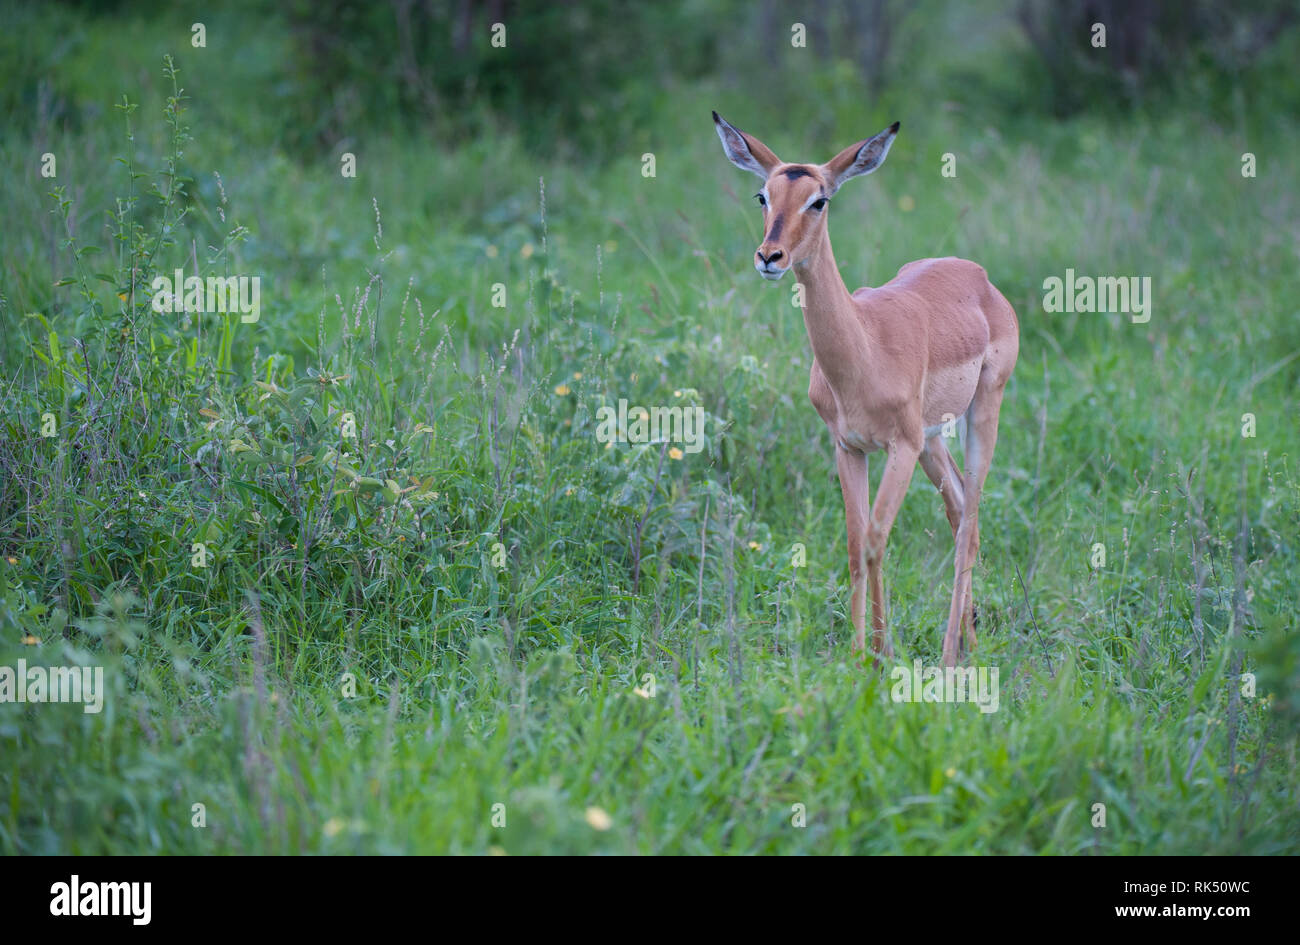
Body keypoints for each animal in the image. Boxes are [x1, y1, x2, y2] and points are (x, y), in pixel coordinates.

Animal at [713, 112, 1019, 667]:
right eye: (763, 195)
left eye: (820, 199)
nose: (770, 256)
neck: (865, 346)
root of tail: (977, 276)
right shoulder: (849, 447)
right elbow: (858, 544)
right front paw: (864, 655)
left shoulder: (899, 446)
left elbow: (877, 538)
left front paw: (877, 655)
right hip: (933, 441)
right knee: (959, 510)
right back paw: (969, 640)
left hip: (982, 412)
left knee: (970, 523)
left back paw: (950, 655)